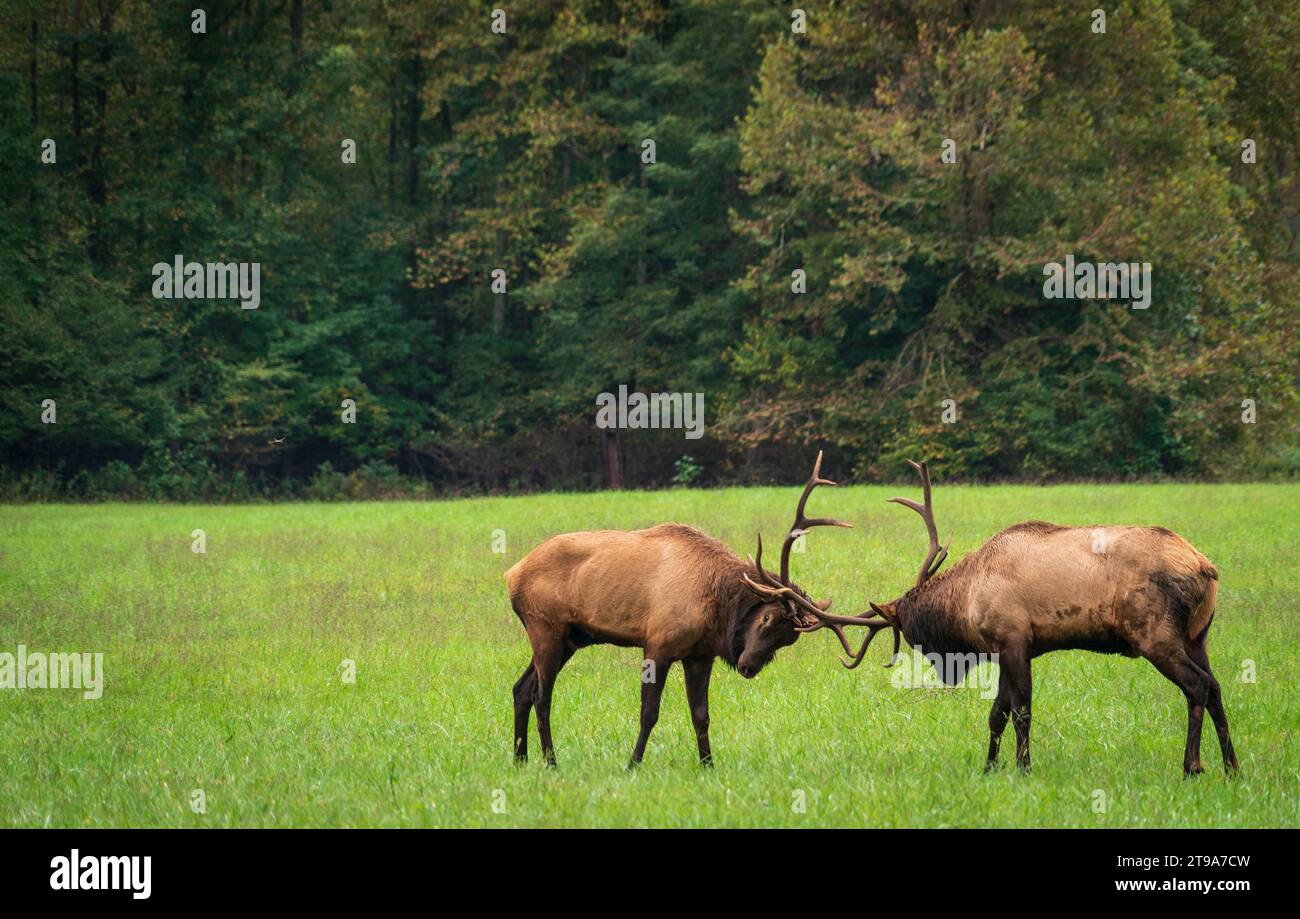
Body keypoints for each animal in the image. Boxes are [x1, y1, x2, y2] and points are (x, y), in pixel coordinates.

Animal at [504, 452, 874, 767]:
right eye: (767, 618)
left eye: (789, 639)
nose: (747, 666)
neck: (717, 607)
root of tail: (511, 575)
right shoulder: (658, 643)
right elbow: (649, 712)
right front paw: (633, 763)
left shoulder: (699, 655)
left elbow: (701, 715)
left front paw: (708, 765)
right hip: (546, 628)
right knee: (540, 694)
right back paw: (551, 762)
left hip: (571, 638)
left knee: (520, 688)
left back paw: (520, 759)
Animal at [749, 460, 1240, 777]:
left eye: (910, 633)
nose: (943, 672)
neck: (965, 600)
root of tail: (1207, 568)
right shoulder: (1008, 647)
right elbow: (996, 714)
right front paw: (988, 767)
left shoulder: (1013, 638)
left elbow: (1020, 710)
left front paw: (1023, 768)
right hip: (1198, 634)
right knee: (1216, 686)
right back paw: (1232, 766)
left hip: (1154, 633)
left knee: (1196, 686)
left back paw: (1192, 767)